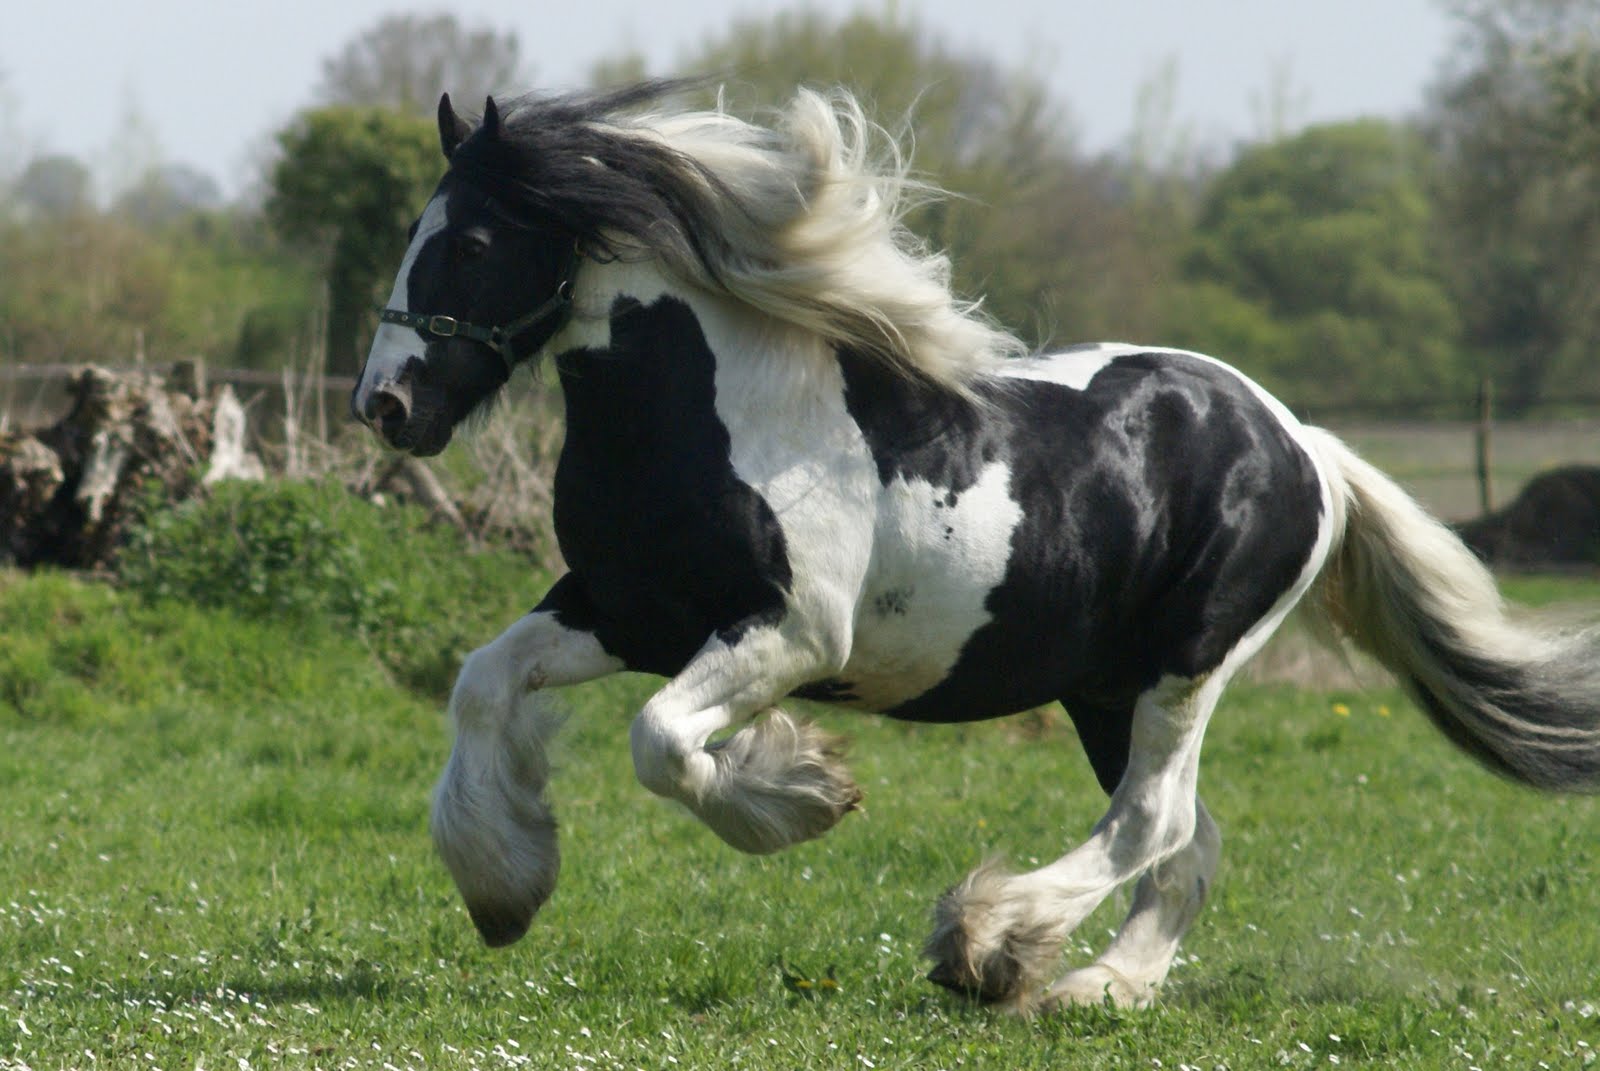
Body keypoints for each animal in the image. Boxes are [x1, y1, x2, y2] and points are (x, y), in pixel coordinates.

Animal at [350, 82, 1600, 1013]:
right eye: (412, 234)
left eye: (469, 241)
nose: (386, 406)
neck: (709, 409)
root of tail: (1303, 444)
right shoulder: (617, 610)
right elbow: (480, 684)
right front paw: (504, 883)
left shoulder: (787, 634)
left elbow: (660, 742)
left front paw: (800, 790)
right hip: (1105, 687)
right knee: (1184, 839)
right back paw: (1089, 985)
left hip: (1184, 666)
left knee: (1151, 820)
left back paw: (984, 942)